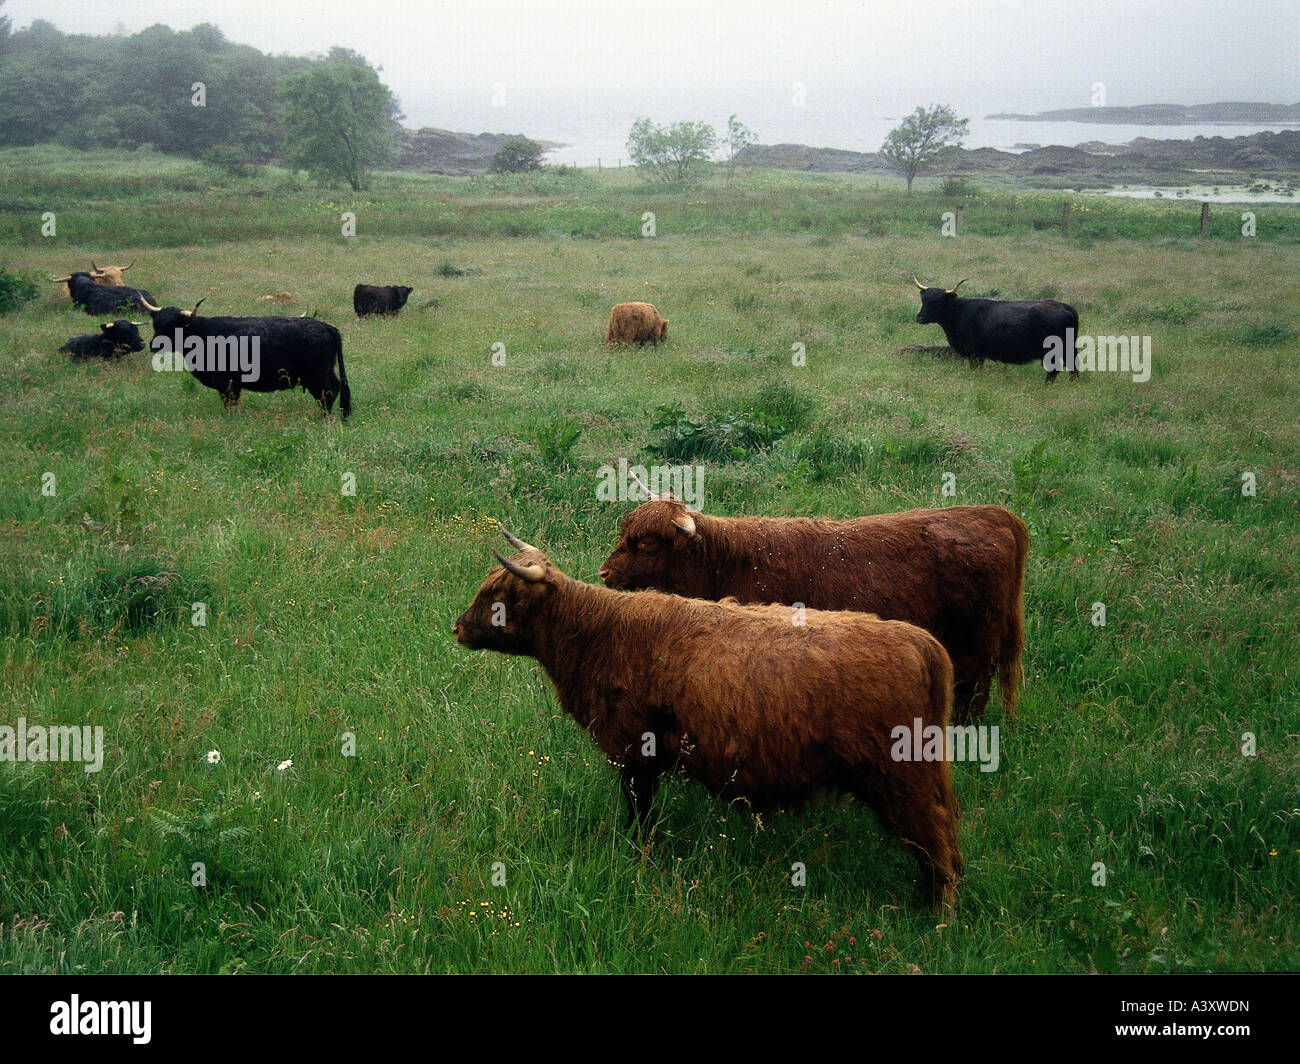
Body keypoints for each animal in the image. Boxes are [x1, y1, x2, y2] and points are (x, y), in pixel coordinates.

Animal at [140, 298, 351, 419]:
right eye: (156, 324)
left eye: (174, 325)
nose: (153, 344)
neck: (201, 332)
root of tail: (328, 327)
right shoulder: (235, 383)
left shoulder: (225, 382)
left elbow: (228, 402)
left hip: (317, 375)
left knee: (328, 392)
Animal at [454, 527, 963, 912]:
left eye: (498, 598)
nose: (457, 628)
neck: (601, 633)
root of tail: (923, 645)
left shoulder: (635, 754)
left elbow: (639, 817)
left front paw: (637, 857)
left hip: (902, 780)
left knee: (936, 845)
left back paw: (936, 916)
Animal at [599, 492, 1028, 722]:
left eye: (646, 543)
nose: (604, 572)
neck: (726, 559)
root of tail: (995, 515)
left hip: (976, 644)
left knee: (976, 686)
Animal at [912, 277, 1079, 382]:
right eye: (924, 300)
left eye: (937, 301)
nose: (919, 317)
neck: (959, 312)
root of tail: (1064, 306)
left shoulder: (975, 354)